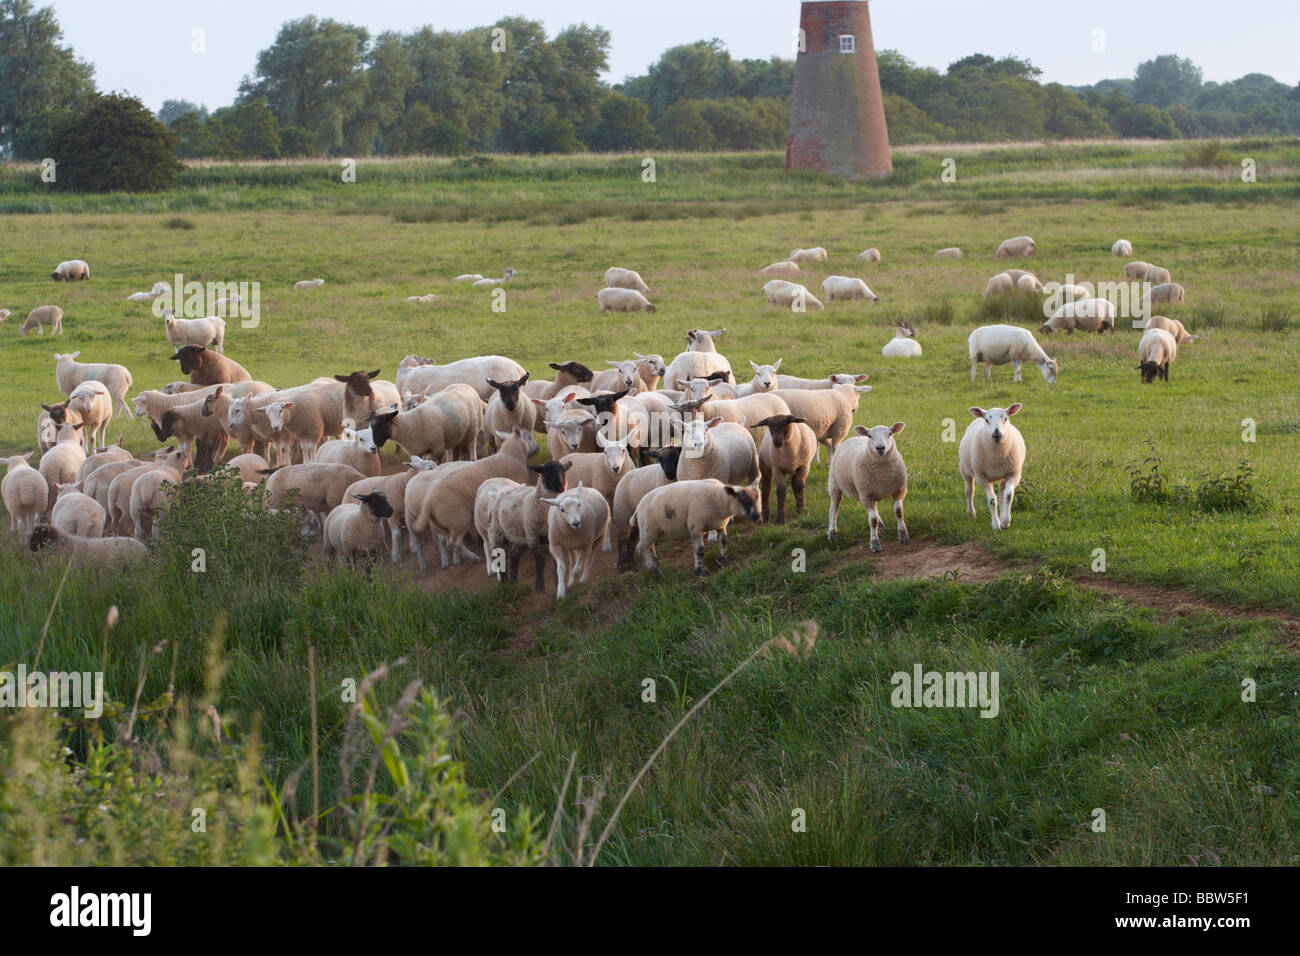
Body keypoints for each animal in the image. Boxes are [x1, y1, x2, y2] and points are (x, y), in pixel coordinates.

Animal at [405, 427, 539, 568]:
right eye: (528, 437)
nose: (537, 447)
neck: (512, 455)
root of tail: (428, 501)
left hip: (442, 524)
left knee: (448, 541)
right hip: (459, 519)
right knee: (454, 543)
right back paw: (474, 557)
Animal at [630, 478, 762, 576]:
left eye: (758, 497)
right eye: (743, 499)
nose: (757, 516)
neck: (719, 500)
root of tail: (638, 507)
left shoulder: (720, 525)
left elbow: (723, 542)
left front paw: (724, 562)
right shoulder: (696, 527)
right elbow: (699, 550)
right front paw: (699, 572)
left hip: (653, 531)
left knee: (650, 546)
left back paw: (656, 563)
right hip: (647, 529)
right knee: (642, 548)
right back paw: (654, 571)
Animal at [827, 422, 909, 552]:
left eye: (890, 434)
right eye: (870, 436)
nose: (880, 448)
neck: (883, 474)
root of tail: (853, 437)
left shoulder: (899, 490)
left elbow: (899, 512)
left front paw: (903, 535)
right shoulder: (866, 495)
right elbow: (872, 520)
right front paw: (875, 544)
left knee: (875, 509)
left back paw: (881, 526)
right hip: (835, 484)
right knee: (833, 509)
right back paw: (832, 534)